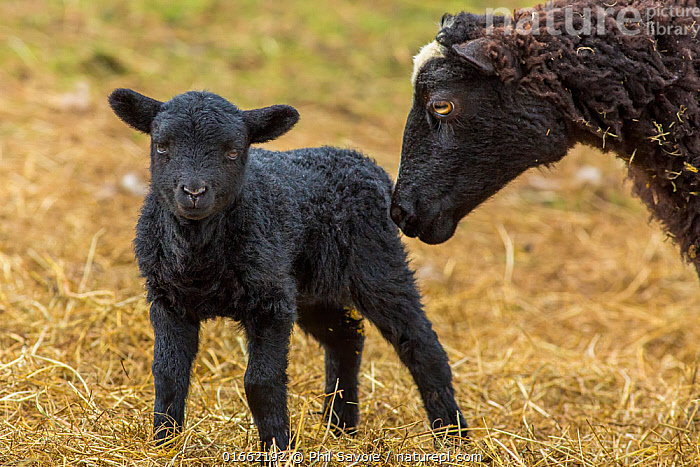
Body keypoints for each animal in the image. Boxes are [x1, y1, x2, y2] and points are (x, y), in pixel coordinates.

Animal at [108, 88, 468, 450]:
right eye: (161, 146)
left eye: (233, 151)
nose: (193, 192)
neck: (200, 259)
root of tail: (363, 160)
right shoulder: (168, 300)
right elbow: (168, 373)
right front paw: (164, 442)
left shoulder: (272, 302)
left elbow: (260, 380)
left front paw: (277, 446)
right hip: (311, 288)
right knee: (346, 336)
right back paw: (340, 426)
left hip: (377, 265)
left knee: (421, 345)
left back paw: (453, 436)